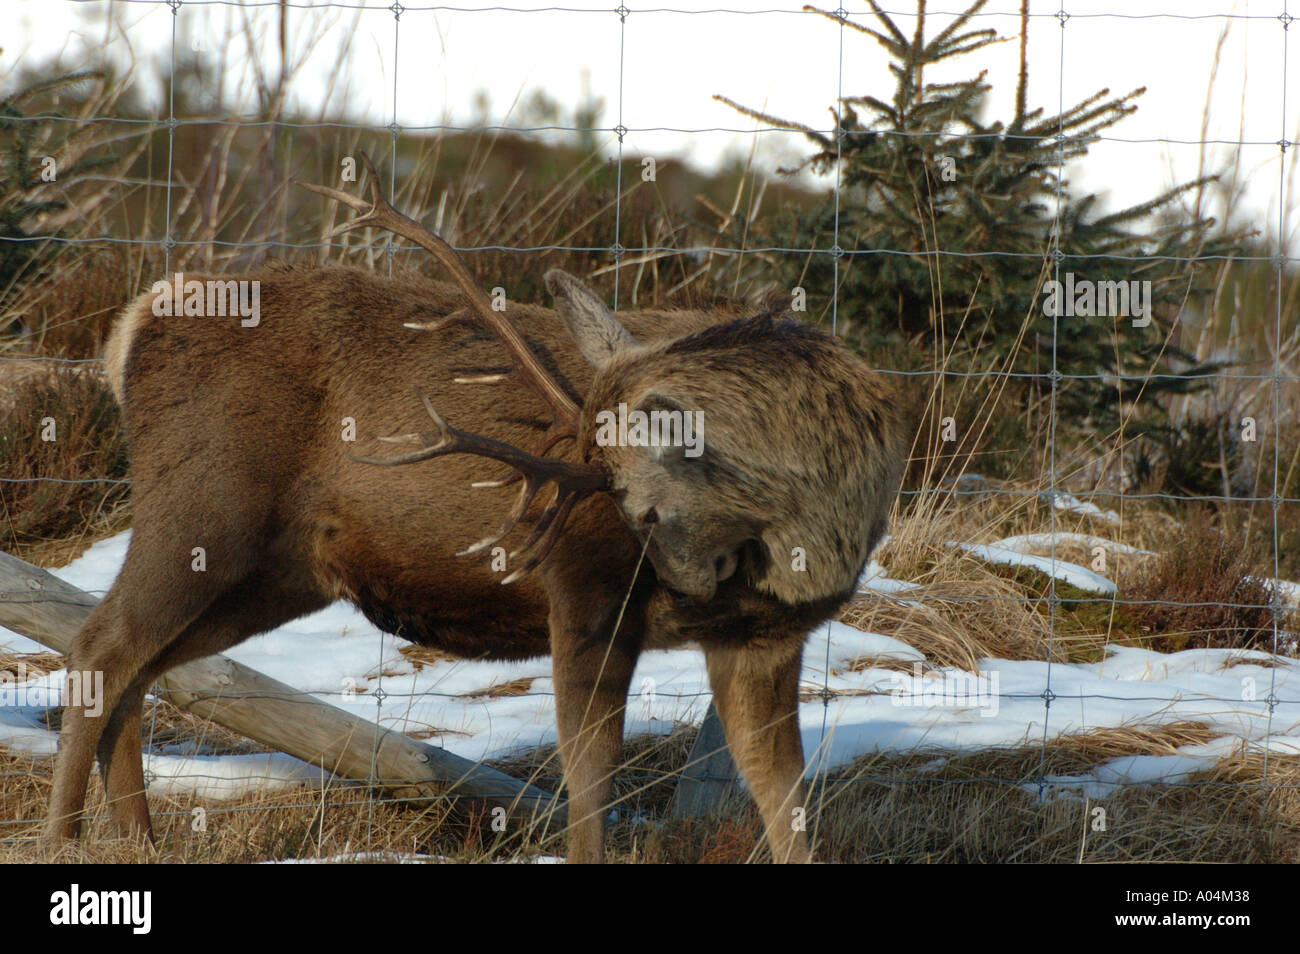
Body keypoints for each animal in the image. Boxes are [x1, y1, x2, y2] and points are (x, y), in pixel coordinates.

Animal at [44, 156, 907, 863]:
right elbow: (589, 780)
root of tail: (133, 325)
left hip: (279, 574)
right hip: (202, 511)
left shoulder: (765, 638)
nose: (683, 587)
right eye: (630, 514)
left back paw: (139, 839)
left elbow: (782, 797)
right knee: (101, 644)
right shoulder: (585, 590)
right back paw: (64, 838)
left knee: (145, 666)